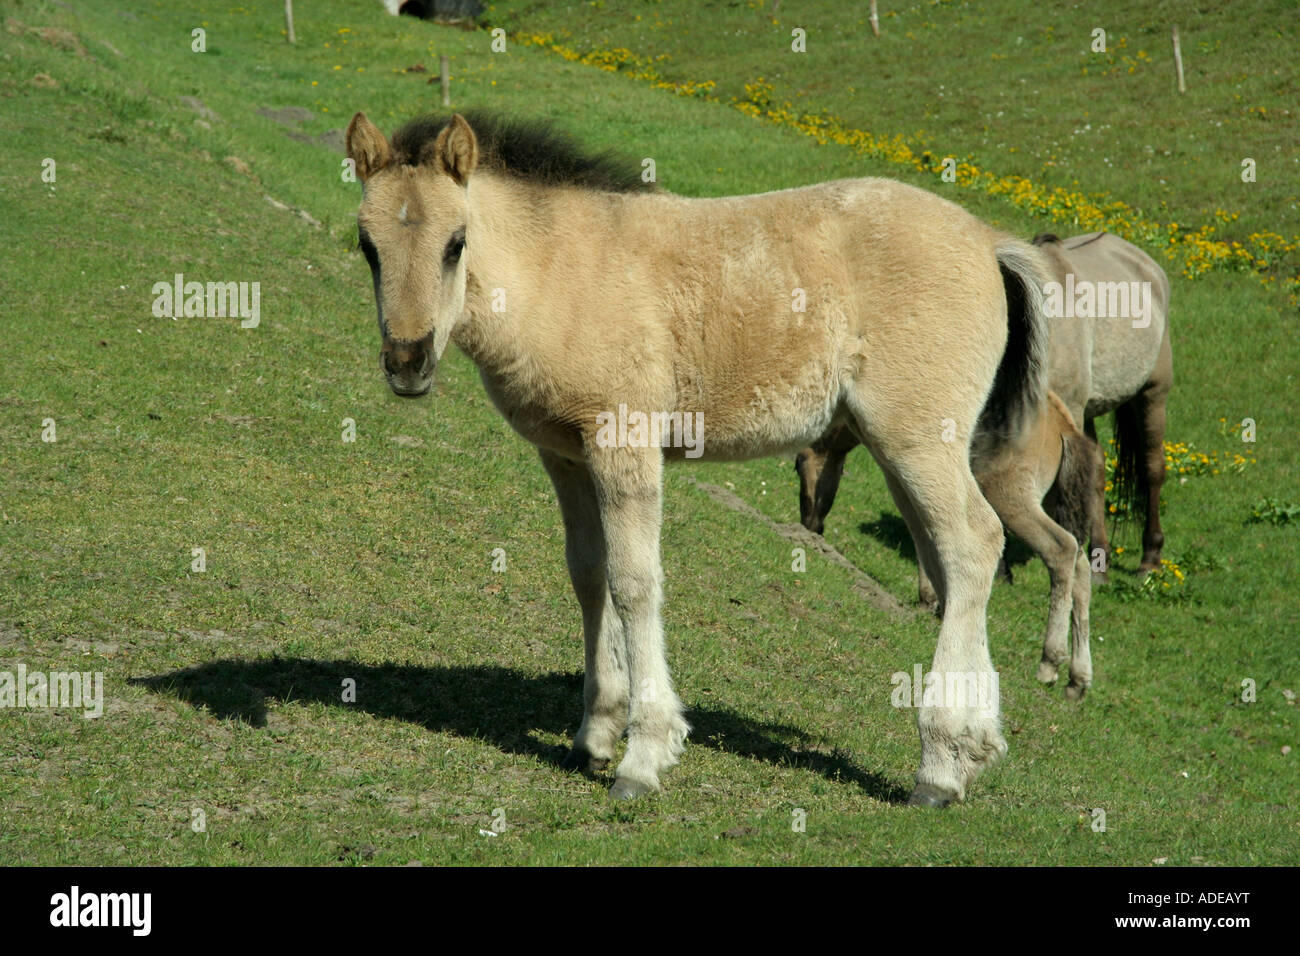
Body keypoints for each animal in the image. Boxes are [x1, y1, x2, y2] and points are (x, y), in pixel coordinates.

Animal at [345, 109, 1054, 808]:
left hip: (917, 440)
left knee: (973, 544)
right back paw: (972, 752)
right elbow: (588, 574)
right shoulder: (565, 455)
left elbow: (633, 583)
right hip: (902, 447)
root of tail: (989, 241)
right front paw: (595, 735)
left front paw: (641, 757)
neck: (563, 272)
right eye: (367, 246)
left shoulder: (624, 440)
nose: (407, 362)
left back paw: (937, 767)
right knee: (957, 561)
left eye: (456, 242)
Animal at [797, 231, 1173, 577]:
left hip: (1150, 394)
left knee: (1149, 469)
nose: (809, 526)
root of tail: (1143, 260)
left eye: (799, 465)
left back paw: (1147, 558)